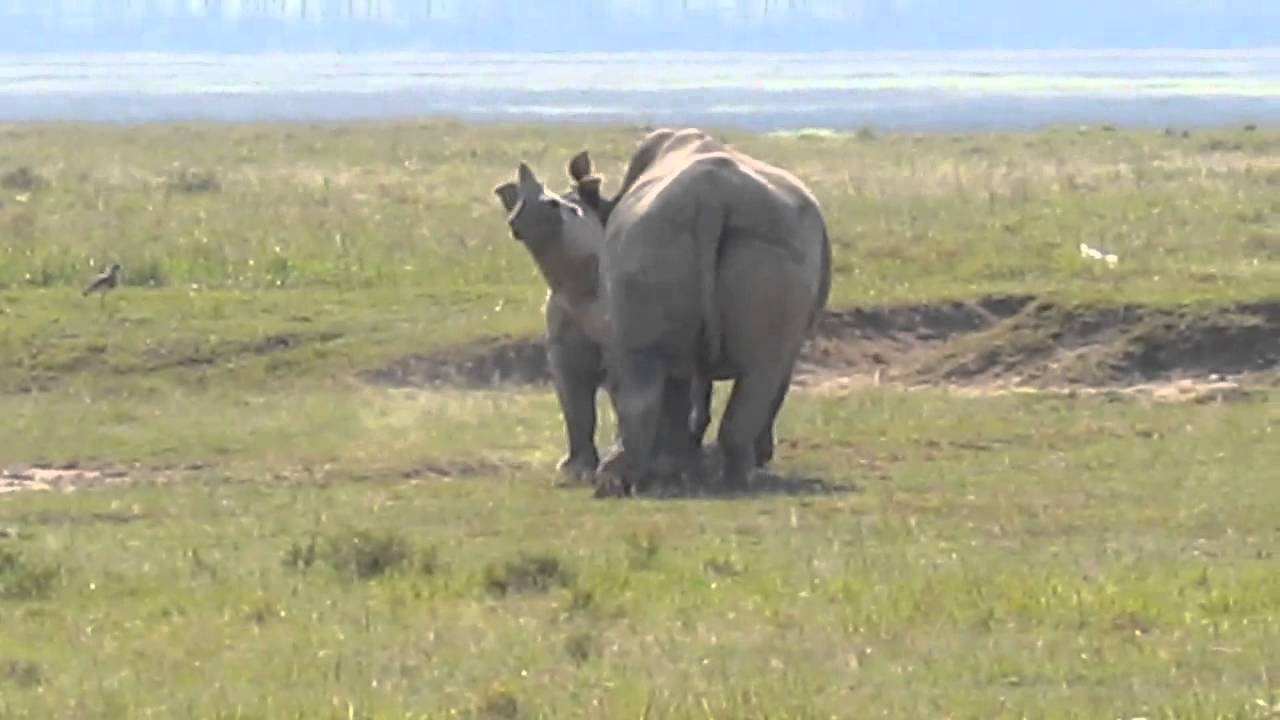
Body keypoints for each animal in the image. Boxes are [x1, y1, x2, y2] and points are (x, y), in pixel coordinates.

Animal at [495, 127, 832, 493]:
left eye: (565, 207)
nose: (526, 217)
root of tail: (711, 198)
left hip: (667, 241)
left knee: (666, 367)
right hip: (695, 240)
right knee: (749, 367)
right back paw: (717, 477)